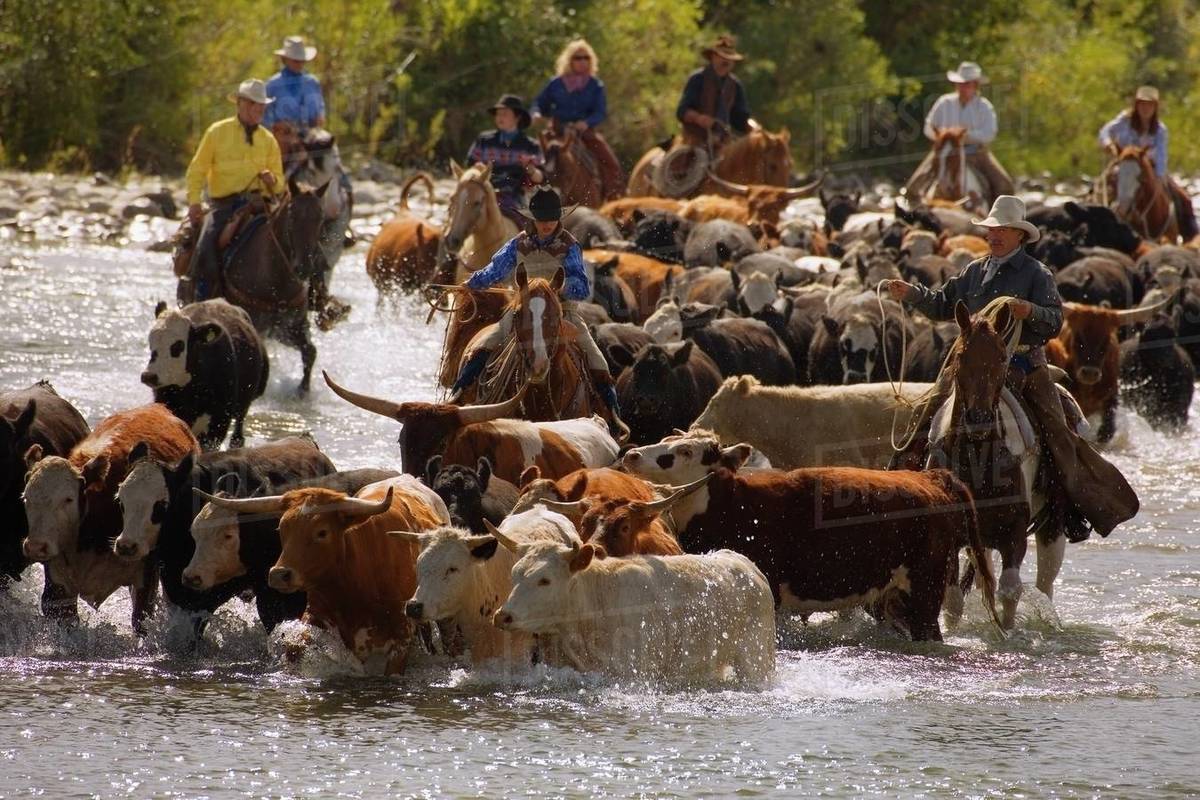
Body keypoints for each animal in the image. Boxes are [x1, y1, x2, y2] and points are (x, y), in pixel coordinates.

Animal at [141, 299, 269, 450]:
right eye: (151, 343)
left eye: (178, 345)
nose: (148, 376)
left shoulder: (218, 424)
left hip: (245, 404)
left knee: (238, 431)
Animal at [201, 476, 448, 674]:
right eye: (282, 528)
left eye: (322, 532)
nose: (279, 574)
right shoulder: (317, 618)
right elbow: (295, 647)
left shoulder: (400, 641)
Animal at [619, 448, 999, 641]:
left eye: (682, 450)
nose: (632, 453)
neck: (734, 505)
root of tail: (930, 479)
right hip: (893, 599)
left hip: (925, 593)